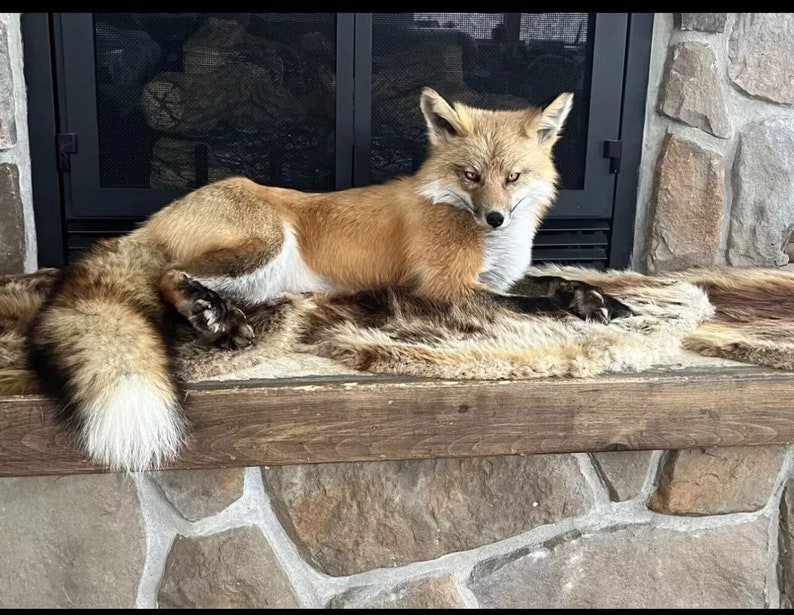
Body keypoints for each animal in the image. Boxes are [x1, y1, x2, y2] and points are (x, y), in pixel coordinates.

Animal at [30, 87, 631, 473]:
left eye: (513, 177)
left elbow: (555, 282)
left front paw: (604, 301)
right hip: (262, 245)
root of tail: (157, 217)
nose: (496, 218)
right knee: (168, 276)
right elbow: (533, 307)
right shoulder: (447, 288)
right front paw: (578, 310)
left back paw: (221, 319)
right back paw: (209, 318)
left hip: (265, 278)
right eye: (471, 175)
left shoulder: (501, 280)